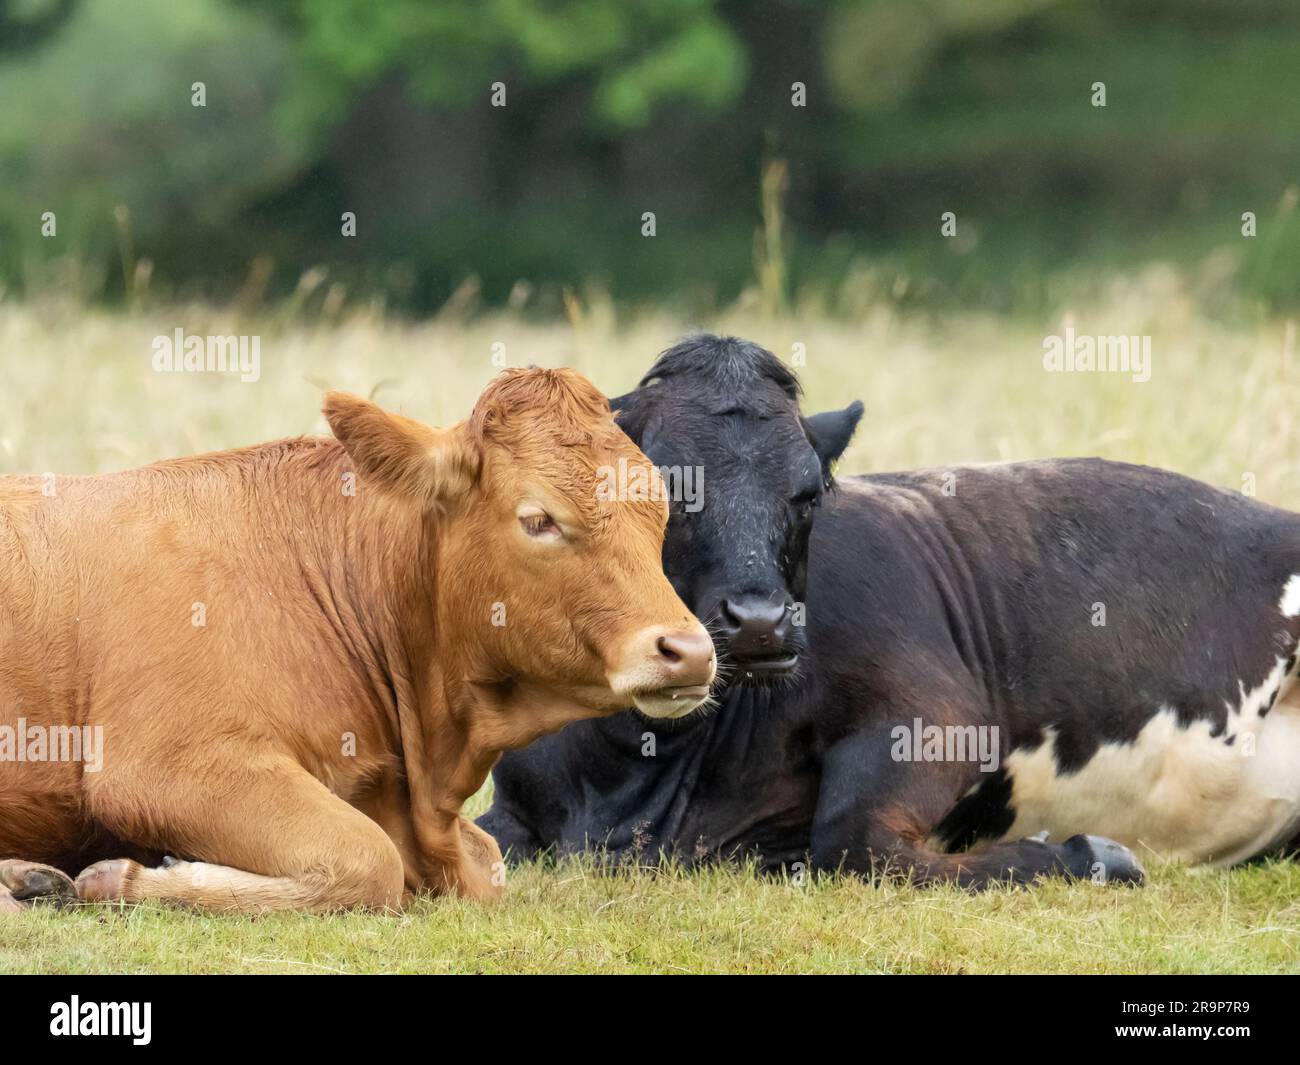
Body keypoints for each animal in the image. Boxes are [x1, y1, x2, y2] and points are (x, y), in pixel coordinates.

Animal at [0, 367, 715, 914]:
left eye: (659, 508)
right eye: (538, 519)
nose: (691, 650)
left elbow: (483, 860)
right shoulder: (160, 765)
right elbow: (367, 859)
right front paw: (122, 874)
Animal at [481, 334, 1300, 888]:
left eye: (809, 494)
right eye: (660, 488)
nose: (760, 621)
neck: (628, 784)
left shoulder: (937, 707)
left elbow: (854, 842)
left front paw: (1087, 851)